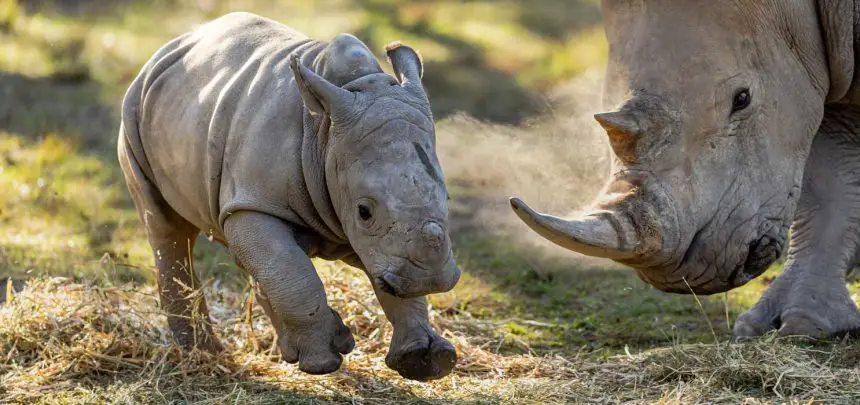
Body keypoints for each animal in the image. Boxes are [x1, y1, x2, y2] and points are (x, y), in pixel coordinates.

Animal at [118, 12, 460, 380]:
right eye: (364, 211)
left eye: (448, 200)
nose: (431, 278)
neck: (326, 135)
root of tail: (176, 44)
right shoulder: (255, 203)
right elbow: (295, 274)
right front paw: (321, 363)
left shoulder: (384, 246)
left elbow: (387, 287)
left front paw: (427, 362)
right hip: (134, 112)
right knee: (167, 228)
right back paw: (206, 355)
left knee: (254, 258)